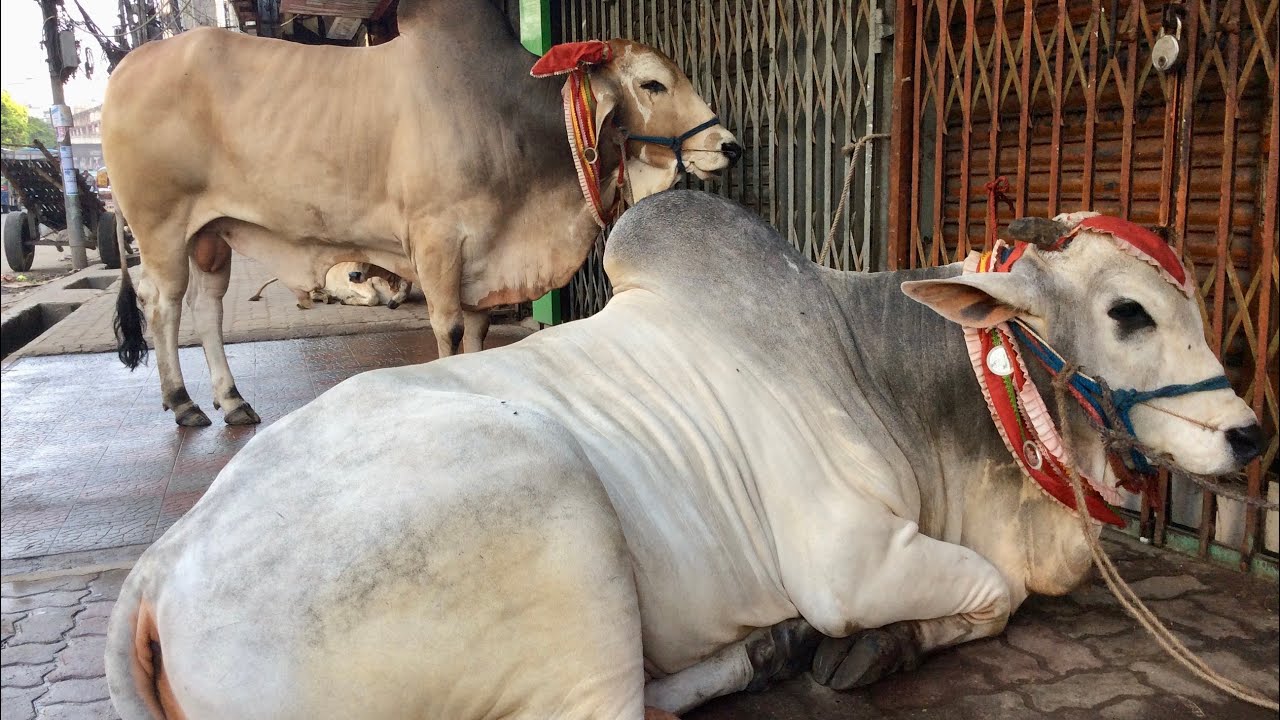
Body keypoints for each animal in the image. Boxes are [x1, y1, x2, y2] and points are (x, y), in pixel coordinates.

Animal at [102, 0, 740, 426]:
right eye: (653, 84)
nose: (729, 146)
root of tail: (126, 69)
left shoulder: (484, 260)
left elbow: (479, 331)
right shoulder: (437, 243)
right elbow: (449, 329)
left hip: (213, 233)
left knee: (208, 308)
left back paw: (232, 400)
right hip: (161, 228)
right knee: (163, 307)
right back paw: (182, 402)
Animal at [105, 192, 1263, 719]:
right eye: (1127, 312)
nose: (1250, 433)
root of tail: (158, 573)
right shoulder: (852, 562)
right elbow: (991, 594)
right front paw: (885, 644)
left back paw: (768, 650)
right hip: (561, 525)